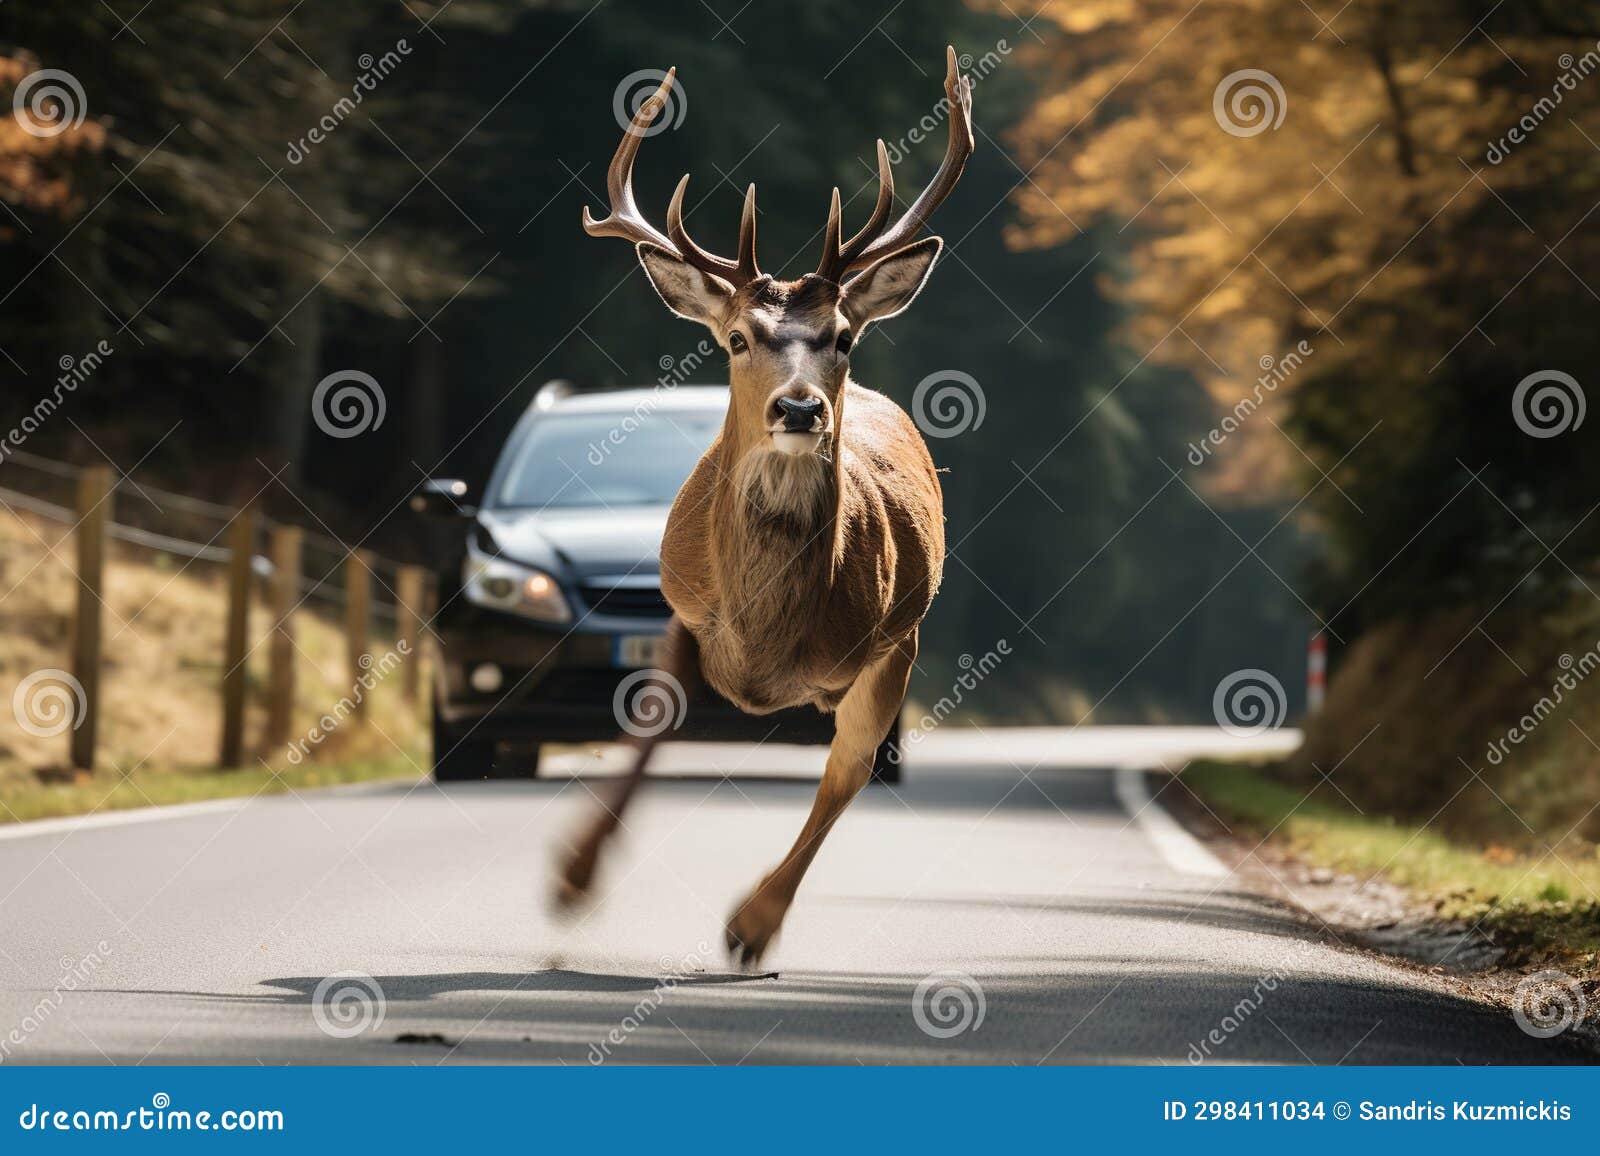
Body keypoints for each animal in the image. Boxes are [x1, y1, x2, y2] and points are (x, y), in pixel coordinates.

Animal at [555, 47, 973, 967]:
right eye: (739, 337)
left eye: (842, 337)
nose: (800, 408)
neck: (769, 639)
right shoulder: (683, 610)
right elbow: (650, 723)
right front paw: (571, 874)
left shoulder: (892, 645)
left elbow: (845, 774)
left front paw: (751, 924)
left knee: (842, 773)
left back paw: (754, 923)